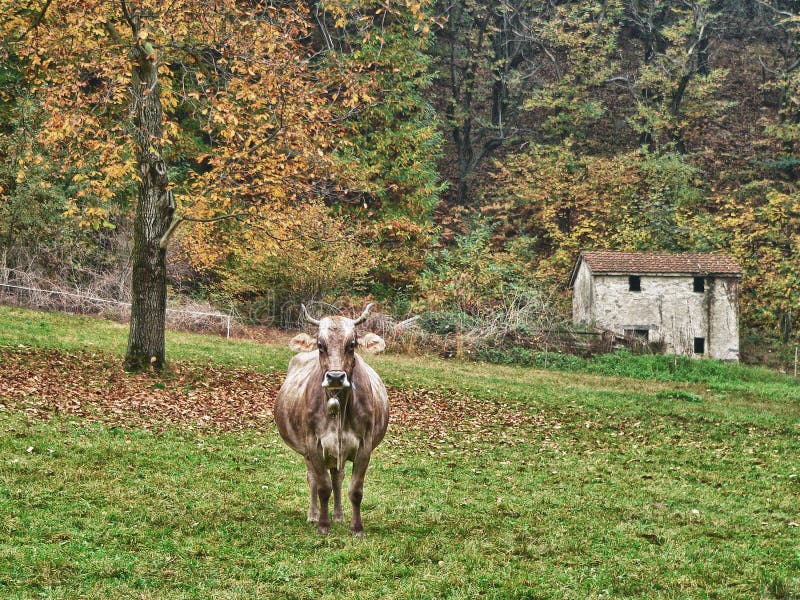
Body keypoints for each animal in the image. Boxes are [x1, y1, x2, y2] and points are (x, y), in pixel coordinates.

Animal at [274, 303, 389, 536]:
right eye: (320, 345)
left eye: (352, 344)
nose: (335, 377)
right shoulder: (314, 444)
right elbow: (322, 487)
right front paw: (323, 525)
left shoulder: (364, 445)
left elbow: (355, 490)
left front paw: (356, 528)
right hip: (307, 451)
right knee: (312, 479)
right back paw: (313, 515)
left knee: (337, 476)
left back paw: (338, 515)